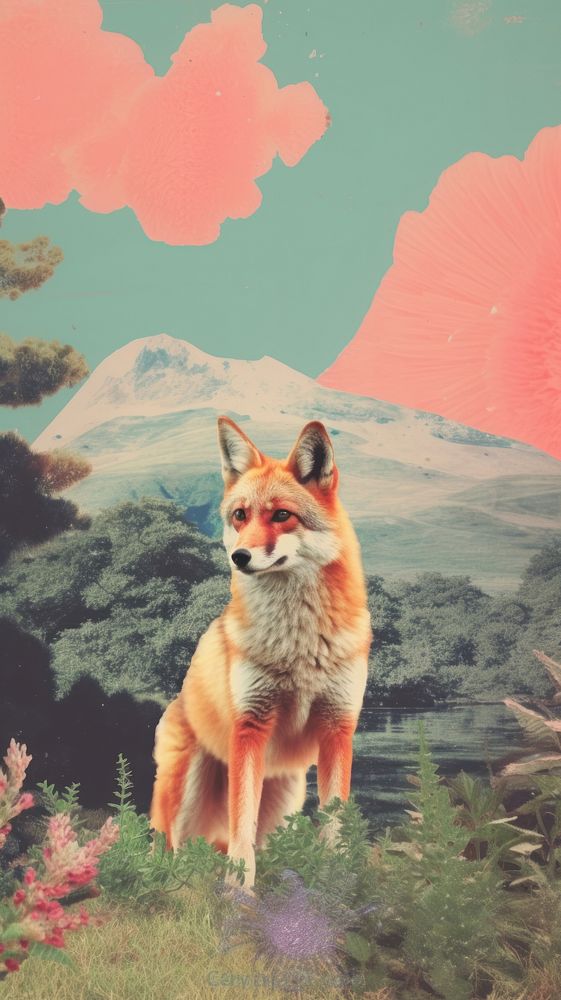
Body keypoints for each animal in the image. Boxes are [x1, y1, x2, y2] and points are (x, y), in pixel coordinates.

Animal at [149, 416, 372, 889]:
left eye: (281, 515)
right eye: (240, 515)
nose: (239, 556)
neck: (301, 649)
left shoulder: (338, 728)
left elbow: (334, 824)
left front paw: (335, 884)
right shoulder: (250, 726)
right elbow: (241, 826)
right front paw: (239, 890)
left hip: (286, 793)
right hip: (184, 794)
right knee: (172, 849)